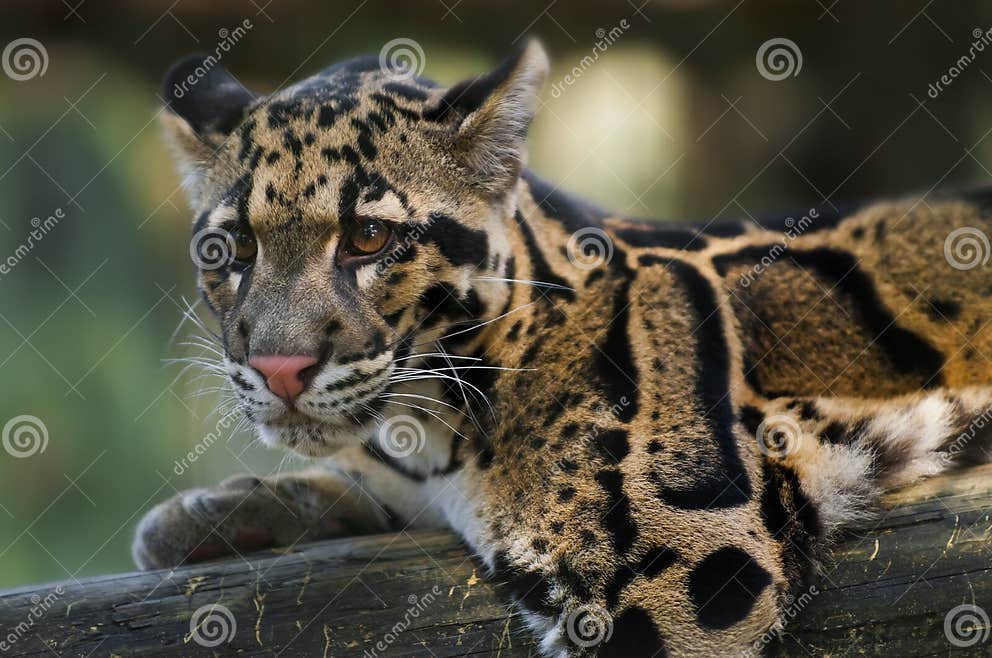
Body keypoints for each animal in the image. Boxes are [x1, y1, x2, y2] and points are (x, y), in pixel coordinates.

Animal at [133, 39, 992, 656]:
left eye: (369, 238)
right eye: (231, 250)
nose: (278, 368)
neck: (432, 423)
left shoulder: (687, 562)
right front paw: (221, 511)